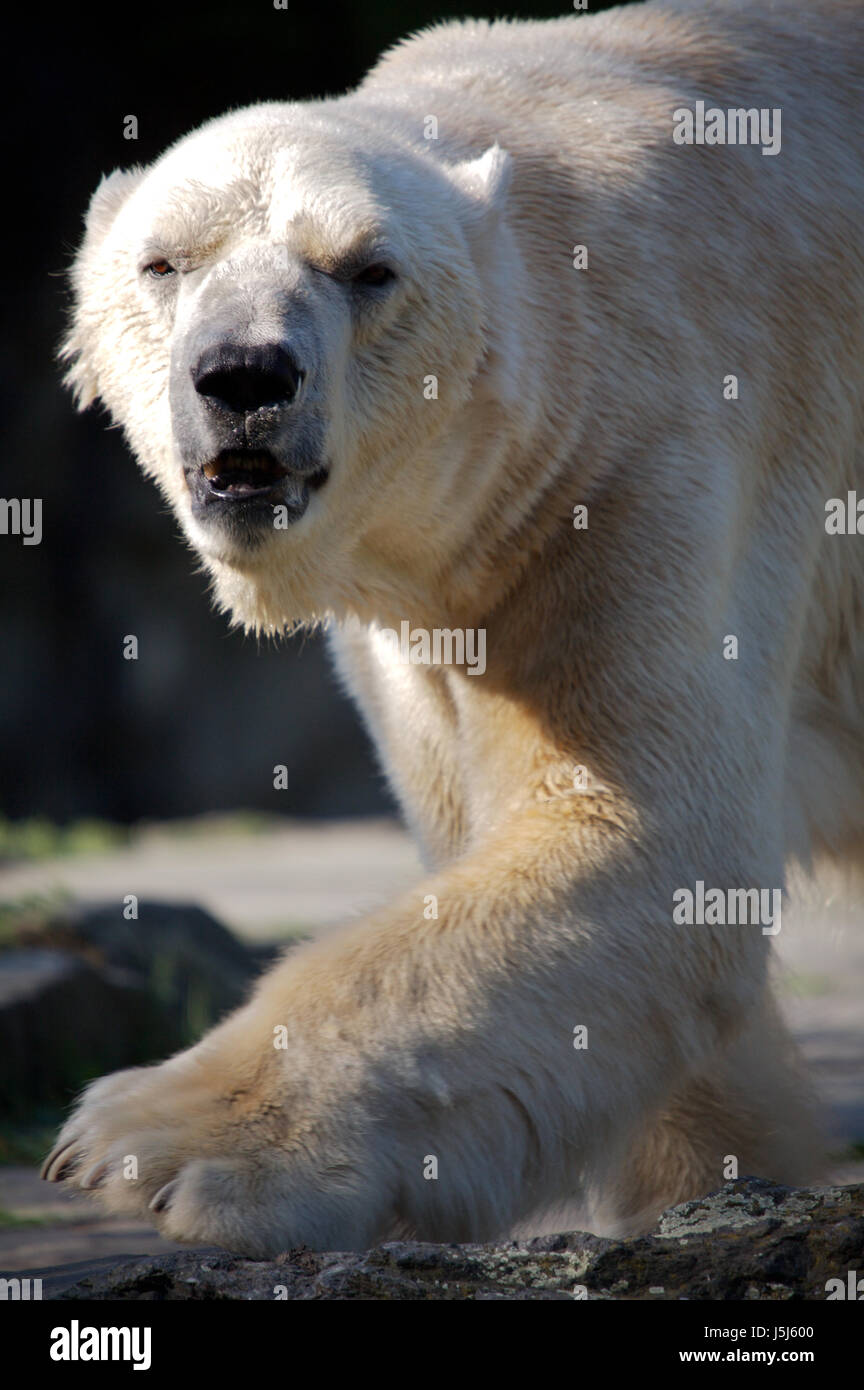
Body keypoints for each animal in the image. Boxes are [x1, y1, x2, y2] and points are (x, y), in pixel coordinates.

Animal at [45, 0, 864, 1256]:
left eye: (367, 269)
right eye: (163, 262)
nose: (245, 376)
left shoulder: (652, 454)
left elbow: (645, 832)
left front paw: (152, 1142)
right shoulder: (425, 619)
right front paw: (710, 1181)